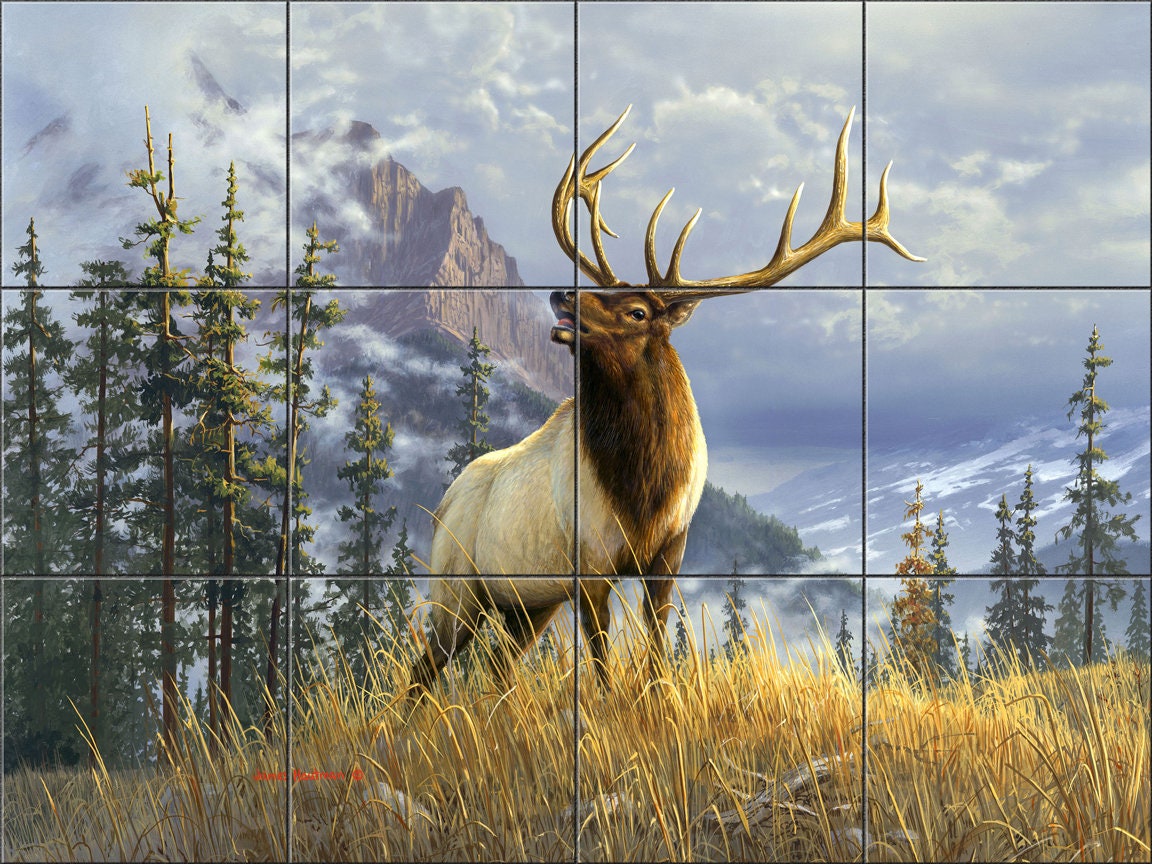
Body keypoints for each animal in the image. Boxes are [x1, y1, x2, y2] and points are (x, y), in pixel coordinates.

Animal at [410, 105, 921, 697]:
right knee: (424, 670)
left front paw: (657, 695)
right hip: (457, 586)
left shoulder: (668, 554)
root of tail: (442, 502)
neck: (644, 487)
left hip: (527, 603)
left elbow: (656, 643)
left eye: (636, 310)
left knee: (495, 665)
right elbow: (602, 660)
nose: (561, 293)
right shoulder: (590, 563)